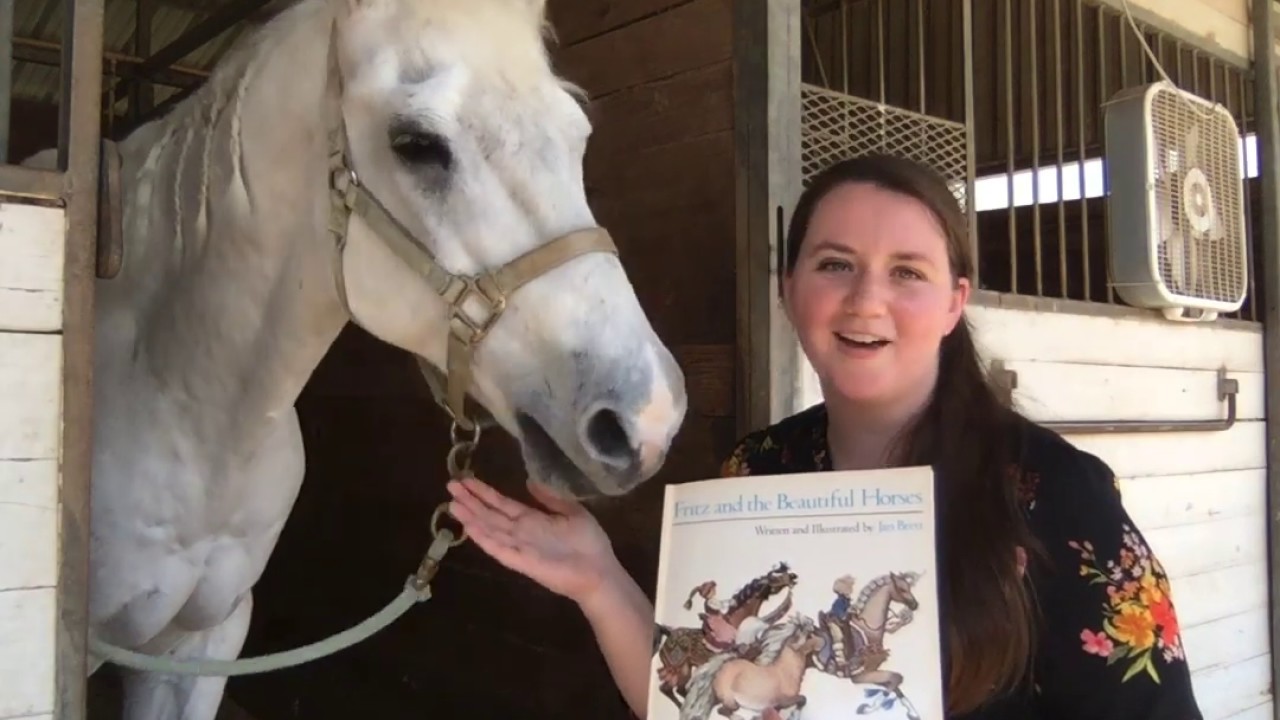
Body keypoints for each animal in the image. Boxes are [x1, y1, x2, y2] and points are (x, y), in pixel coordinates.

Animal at [653, 563, 798, 706]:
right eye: (774, 576)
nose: (792, 576)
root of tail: (669, 633)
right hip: (678, 669)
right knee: (667, 688)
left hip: (685, 668)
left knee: (678, 689)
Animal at [677, 616, 822, 720]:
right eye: (807, 637)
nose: (822, 643)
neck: (785, 671)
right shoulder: (784, 701)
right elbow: (802, 699)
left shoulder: (776, 706)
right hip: (731, 702)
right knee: (723, 710)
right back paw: (738, 717)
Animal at [810, 571, 925, 719]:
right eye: (902, 589)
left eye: (908, 587)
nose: (914, 605)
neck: (869, 629)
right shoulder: (860, 676)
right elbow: (896, 678)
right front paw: (867, 708)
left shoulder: (871, 671)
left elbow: (895, 685)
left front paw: (913, 712)